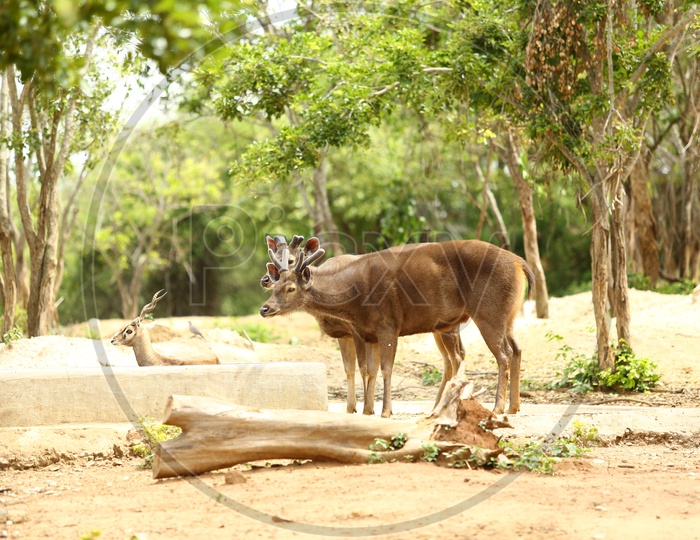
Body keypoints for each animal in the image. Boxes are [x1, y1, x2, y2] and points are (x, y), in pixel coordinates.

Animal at [261, 239, 534, 417]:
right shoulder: (366, 332)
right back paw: (512, 406)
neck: (354, 299)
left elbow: (385, 369)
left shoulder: (387, 324)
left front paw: (384, 411)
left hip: (488, 311)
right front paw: (367, 409)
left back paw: (497, 407)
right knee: (516, 348)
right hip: (504, 315)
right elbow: (368, 370)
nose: (265, 308)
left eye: (290, 288)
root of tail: (520, 262)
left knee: (502, 354)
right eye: (276, 284)